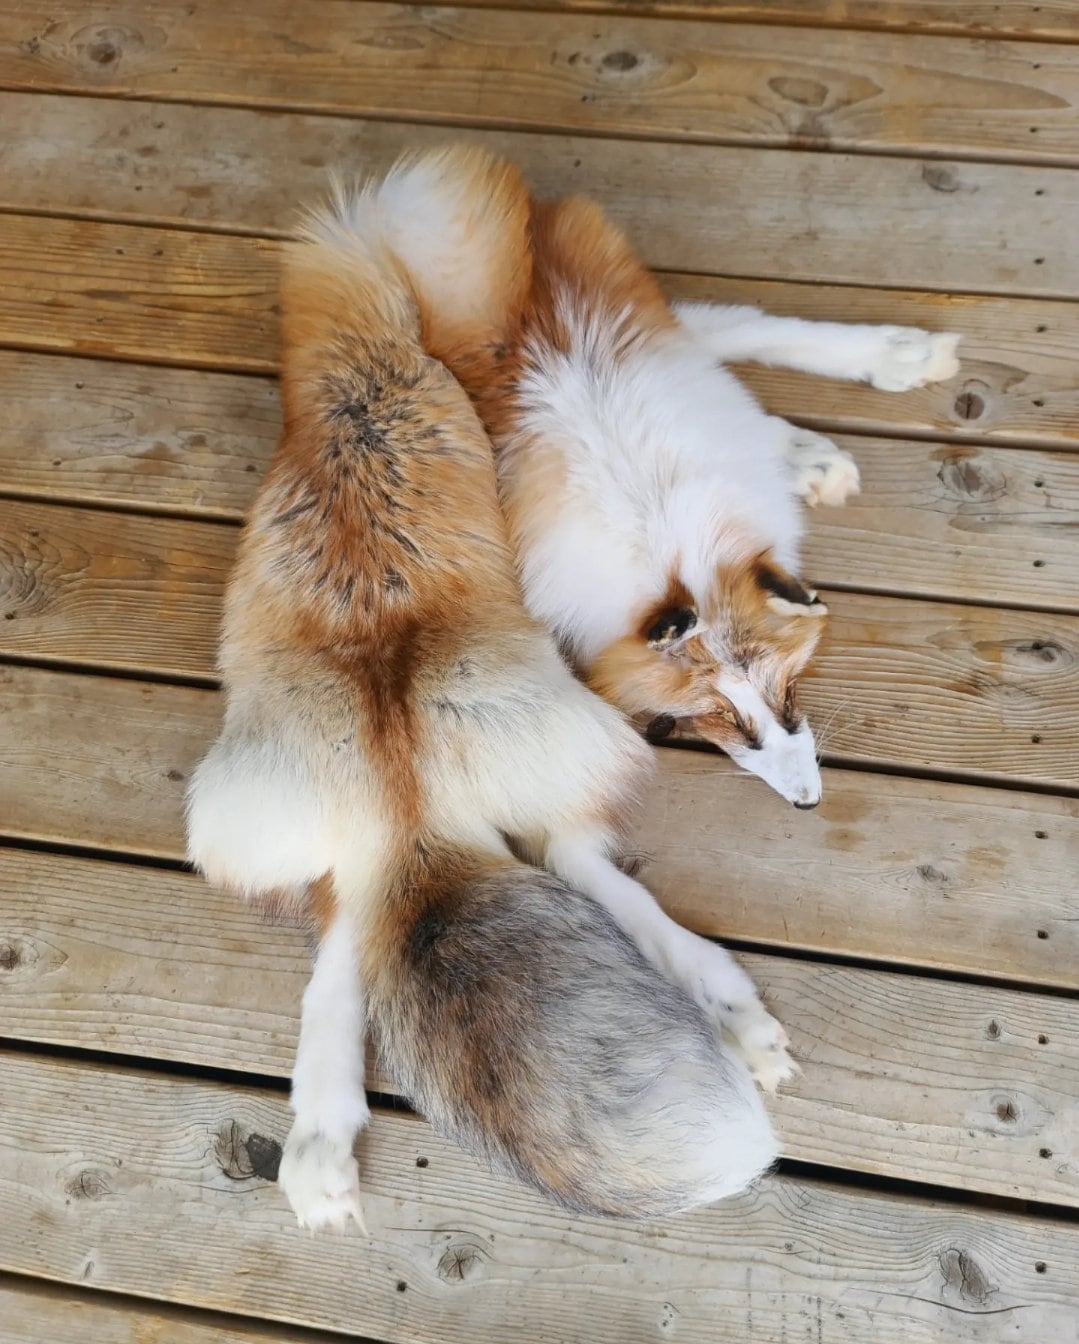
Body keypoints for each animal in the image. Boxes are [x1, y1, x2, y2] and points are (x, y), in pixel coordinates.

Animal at [186, 156, 795, 1232]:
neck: (359, 380)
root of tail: (409, 811)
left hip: (264, 822)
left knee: (348, 937)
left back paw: (319, 1141)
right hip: (591, 746)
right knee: (572, 858)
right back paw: (727, 1010)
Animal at [370, 145, 962, 807]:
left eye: (785, 689)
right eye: (714, 720)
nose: (807, 800)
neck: (657, 521)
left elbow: (760, 341)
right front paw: (809, 454)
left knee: (749, 329)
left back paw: (891, 362)